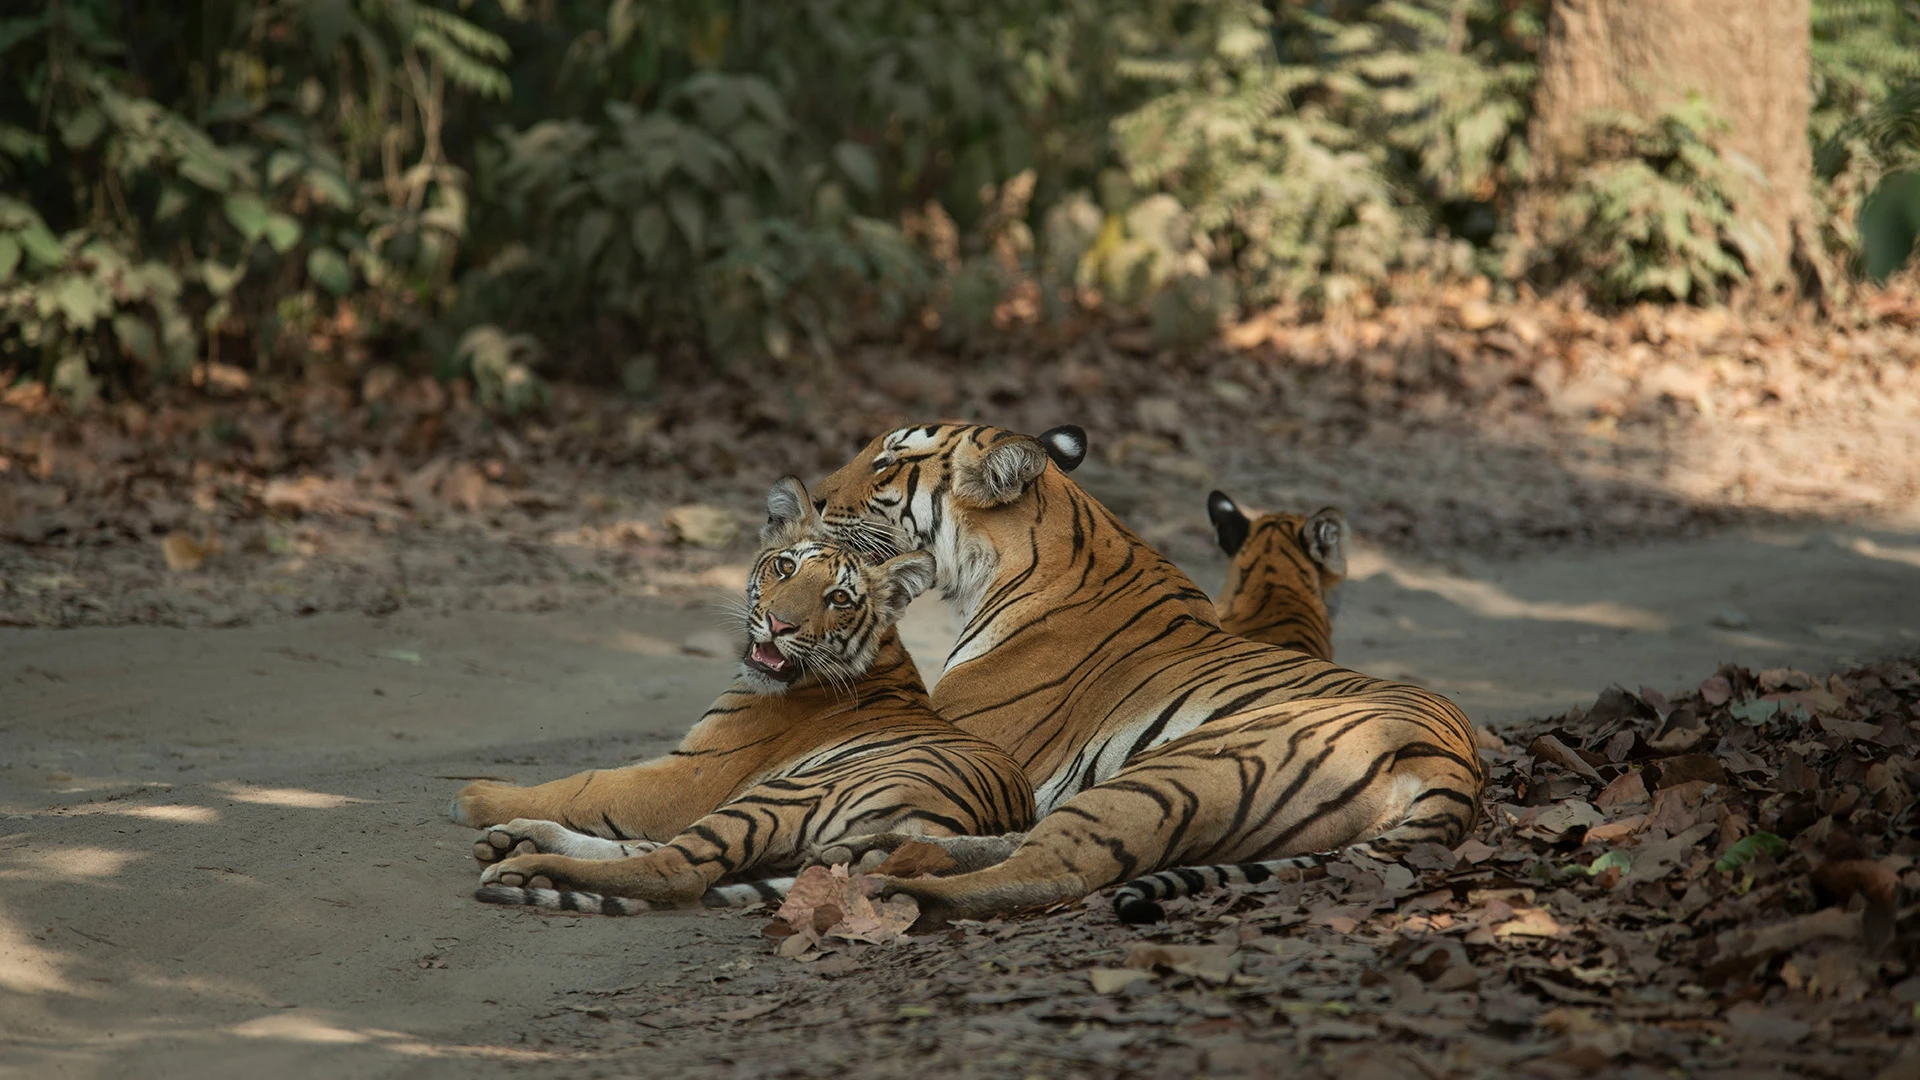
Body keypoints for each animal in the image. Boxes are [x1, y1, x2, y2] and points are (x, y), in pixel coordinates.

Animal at [452, 476, 1034, 913]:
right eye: (786, 566)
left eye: (839, 598)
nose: (779, 624)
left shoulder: (695, 772)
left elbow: (589, 783)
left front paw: (476, 795)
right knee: (650, 851)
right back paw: (519, 842)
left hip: (780, 796)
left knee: (675, 869)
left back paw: (527, 865)